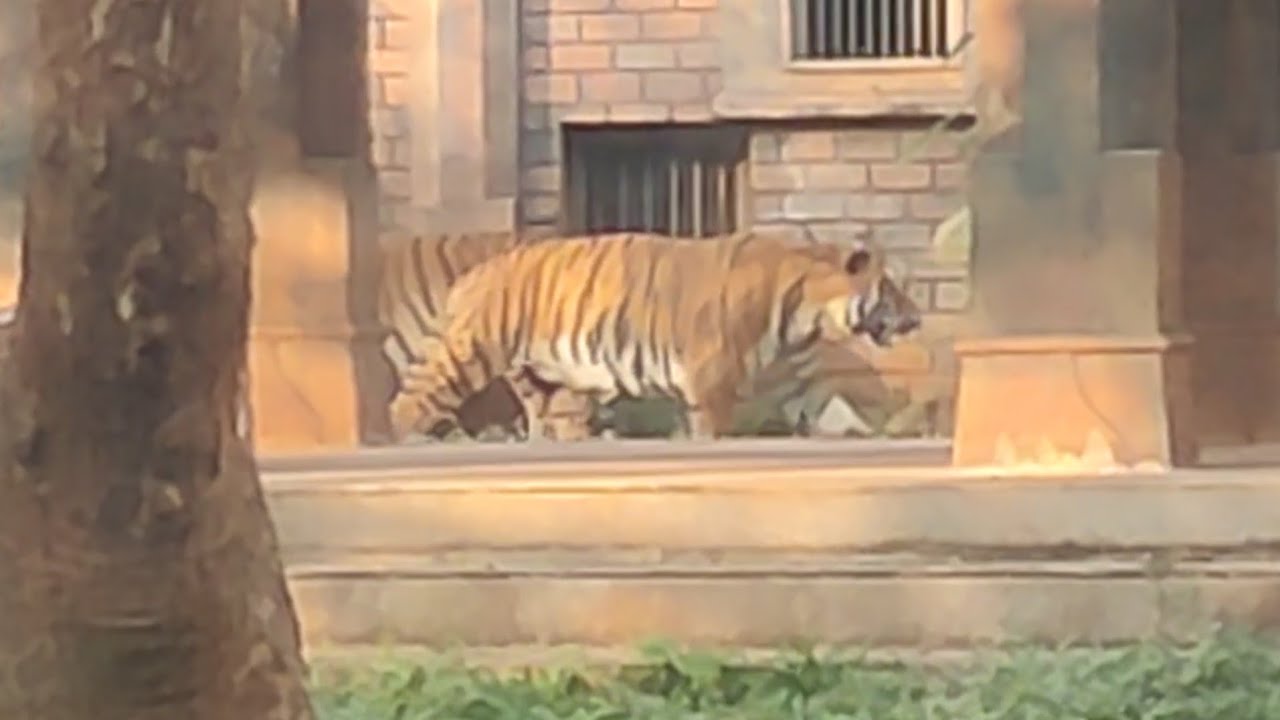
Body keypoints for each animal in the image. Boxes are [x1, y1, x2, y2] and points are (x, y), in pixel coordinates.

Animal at [387, 230, 922, 442]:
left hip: (544, 382)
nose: (917, 319)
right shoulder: (713, 386)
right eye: (890, 287)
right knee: (412, 399)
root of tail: (474, 274)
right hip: (471, 351)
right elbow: (713, 433)